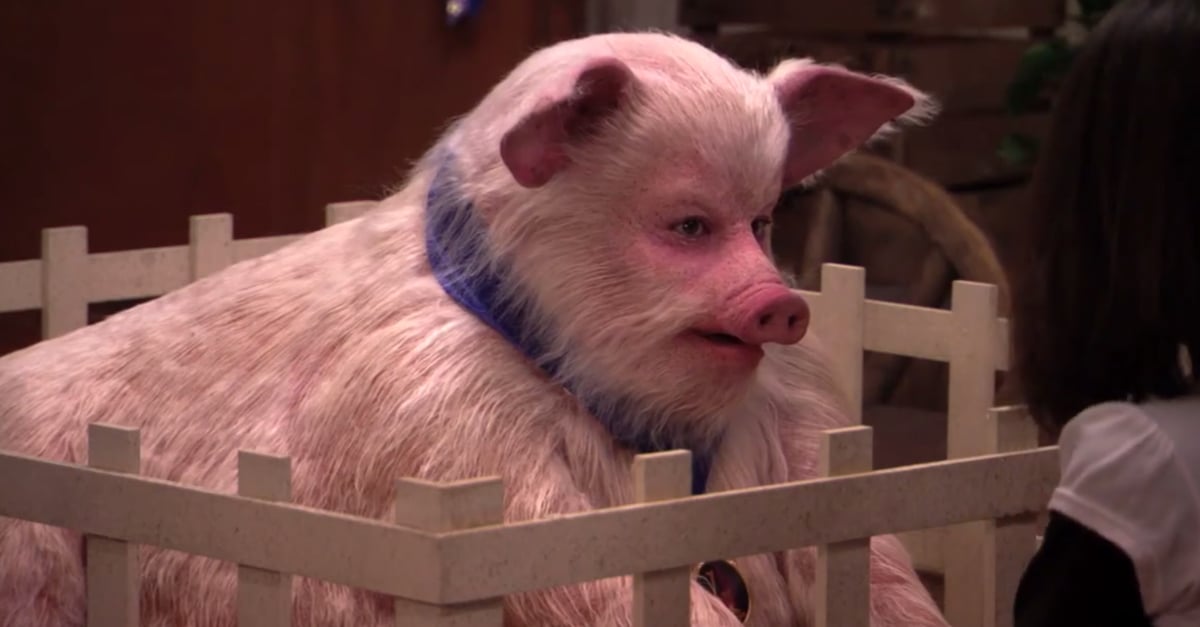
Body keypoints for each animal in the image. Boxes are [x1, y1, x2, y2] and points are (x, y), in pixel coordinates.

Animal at [0, 31, 946, 626]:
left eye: (764, 221)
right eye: (687, 225)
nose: (782, 302)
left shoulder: (807, 425)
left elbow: (883, 567)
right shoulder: (442, 442)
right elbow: (589, 580)